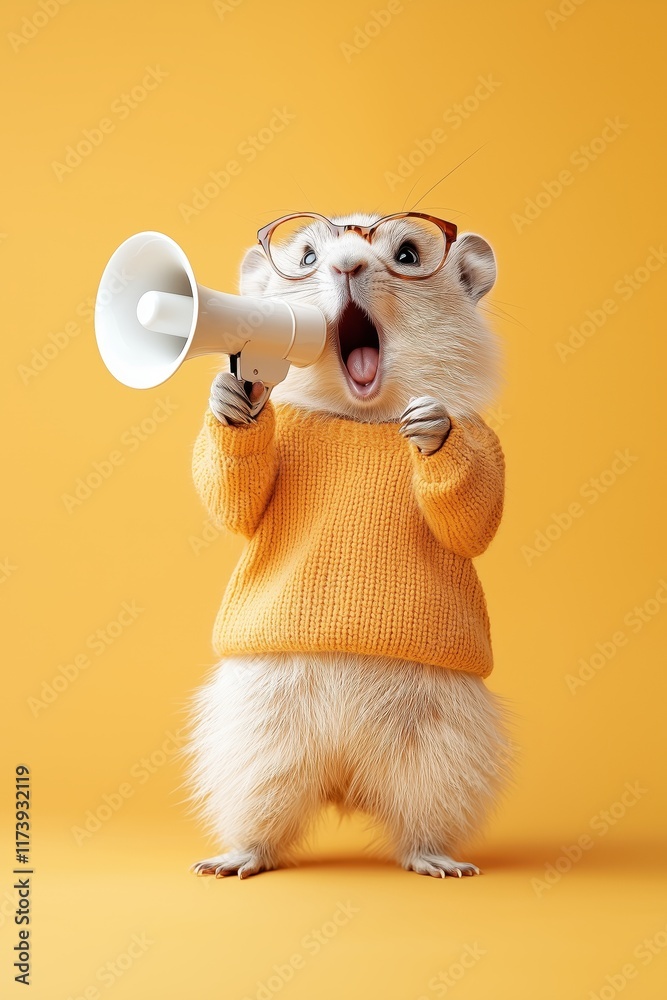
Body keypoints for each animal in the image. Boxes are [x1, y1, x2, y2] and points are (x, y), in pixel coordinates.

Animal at [184, 213, 512, 879]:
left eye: (408, 254)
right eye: (308, 256)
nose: (345, 264)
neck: (361, 414)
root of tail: (343, 778)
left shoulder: (487, 449)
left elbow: (475, 514)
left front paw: (431, 426)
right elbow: (236, 501)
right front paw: (233, 401)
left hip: (440, 744)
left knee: (422, 820)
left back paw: (440, 863)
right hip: (258, 738)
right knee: (261, 815)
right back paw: (232, 862)